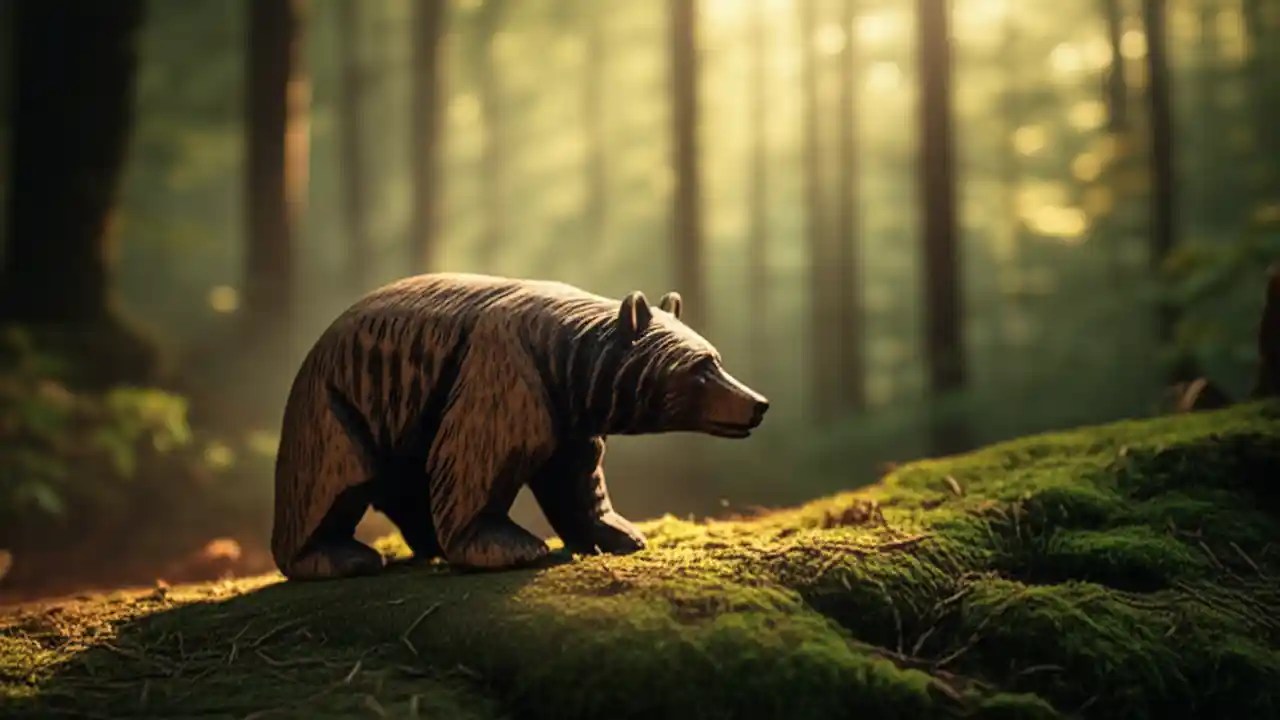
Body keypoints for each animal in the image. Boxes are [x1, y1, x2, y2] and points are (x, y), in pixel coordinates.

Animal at [271, 273, 770, 580]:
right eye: (702, 368)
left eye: (717, 358)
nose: (758, 404)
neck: (569, 359)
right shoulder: (504, 370)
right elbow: (483, 457)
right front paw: (511, 546)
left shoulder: (569, 414)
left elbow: (576, 477)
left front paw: (620, 532)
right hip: (336, 402)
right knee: (333, 477)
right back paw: (339, 555)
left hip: (403, 417)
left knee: (408, 482)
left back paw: (427, 541)